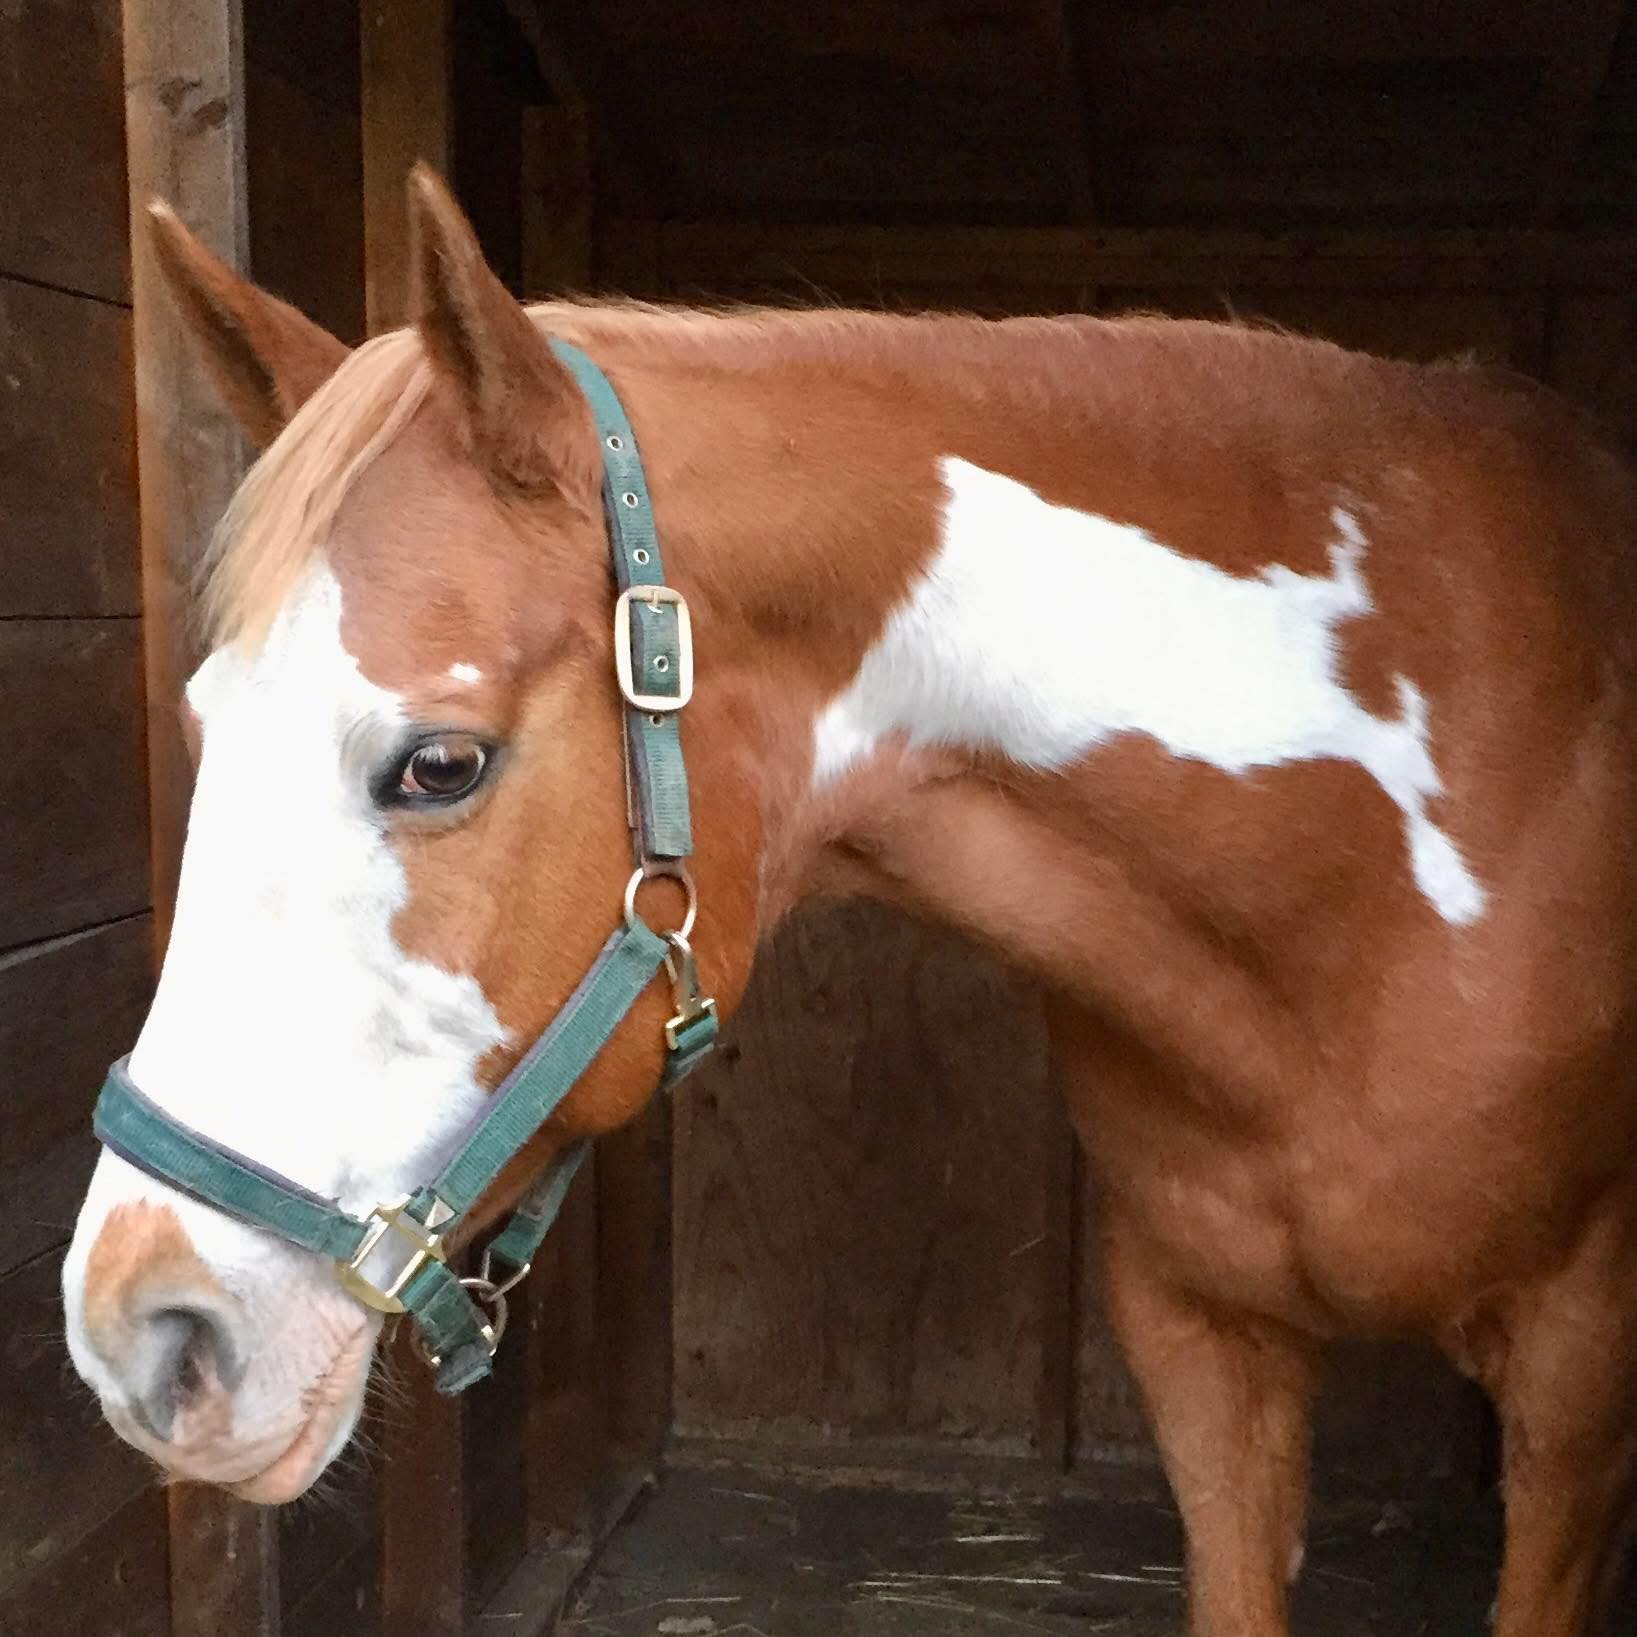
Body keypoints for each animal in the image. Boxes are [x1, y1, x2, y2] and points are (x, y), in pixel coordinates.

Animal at [60, 166, 1637, 1636]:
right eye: (204, 726)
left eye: (438, 763)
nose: (138, 1336)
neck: (1352, 909)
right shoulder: (1200, 1337)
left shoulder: (1577, 1371)